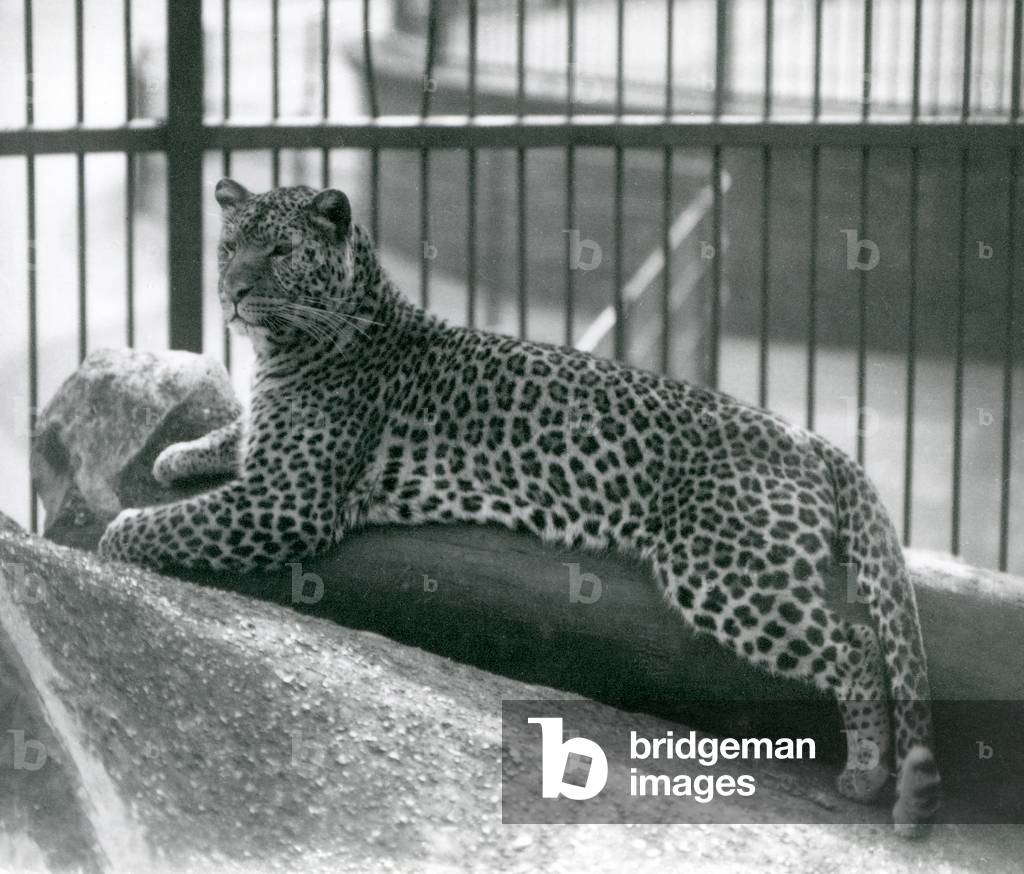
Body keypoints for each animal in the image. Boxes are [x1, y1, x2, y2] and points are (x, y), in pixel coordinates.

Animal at [99, 178, 941, 835]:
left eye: (278, 252)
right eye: (229, 246)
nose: (234, 292)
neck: (287, 349)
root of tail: (807, 436)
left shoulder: (291, 499)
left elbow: (173, 521)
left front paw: (113, 541)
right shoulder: (270, 466)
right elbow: (231, 439)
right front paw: (179, 452)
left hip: (726, 571)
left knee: (857, 644)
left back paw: (867, 772)